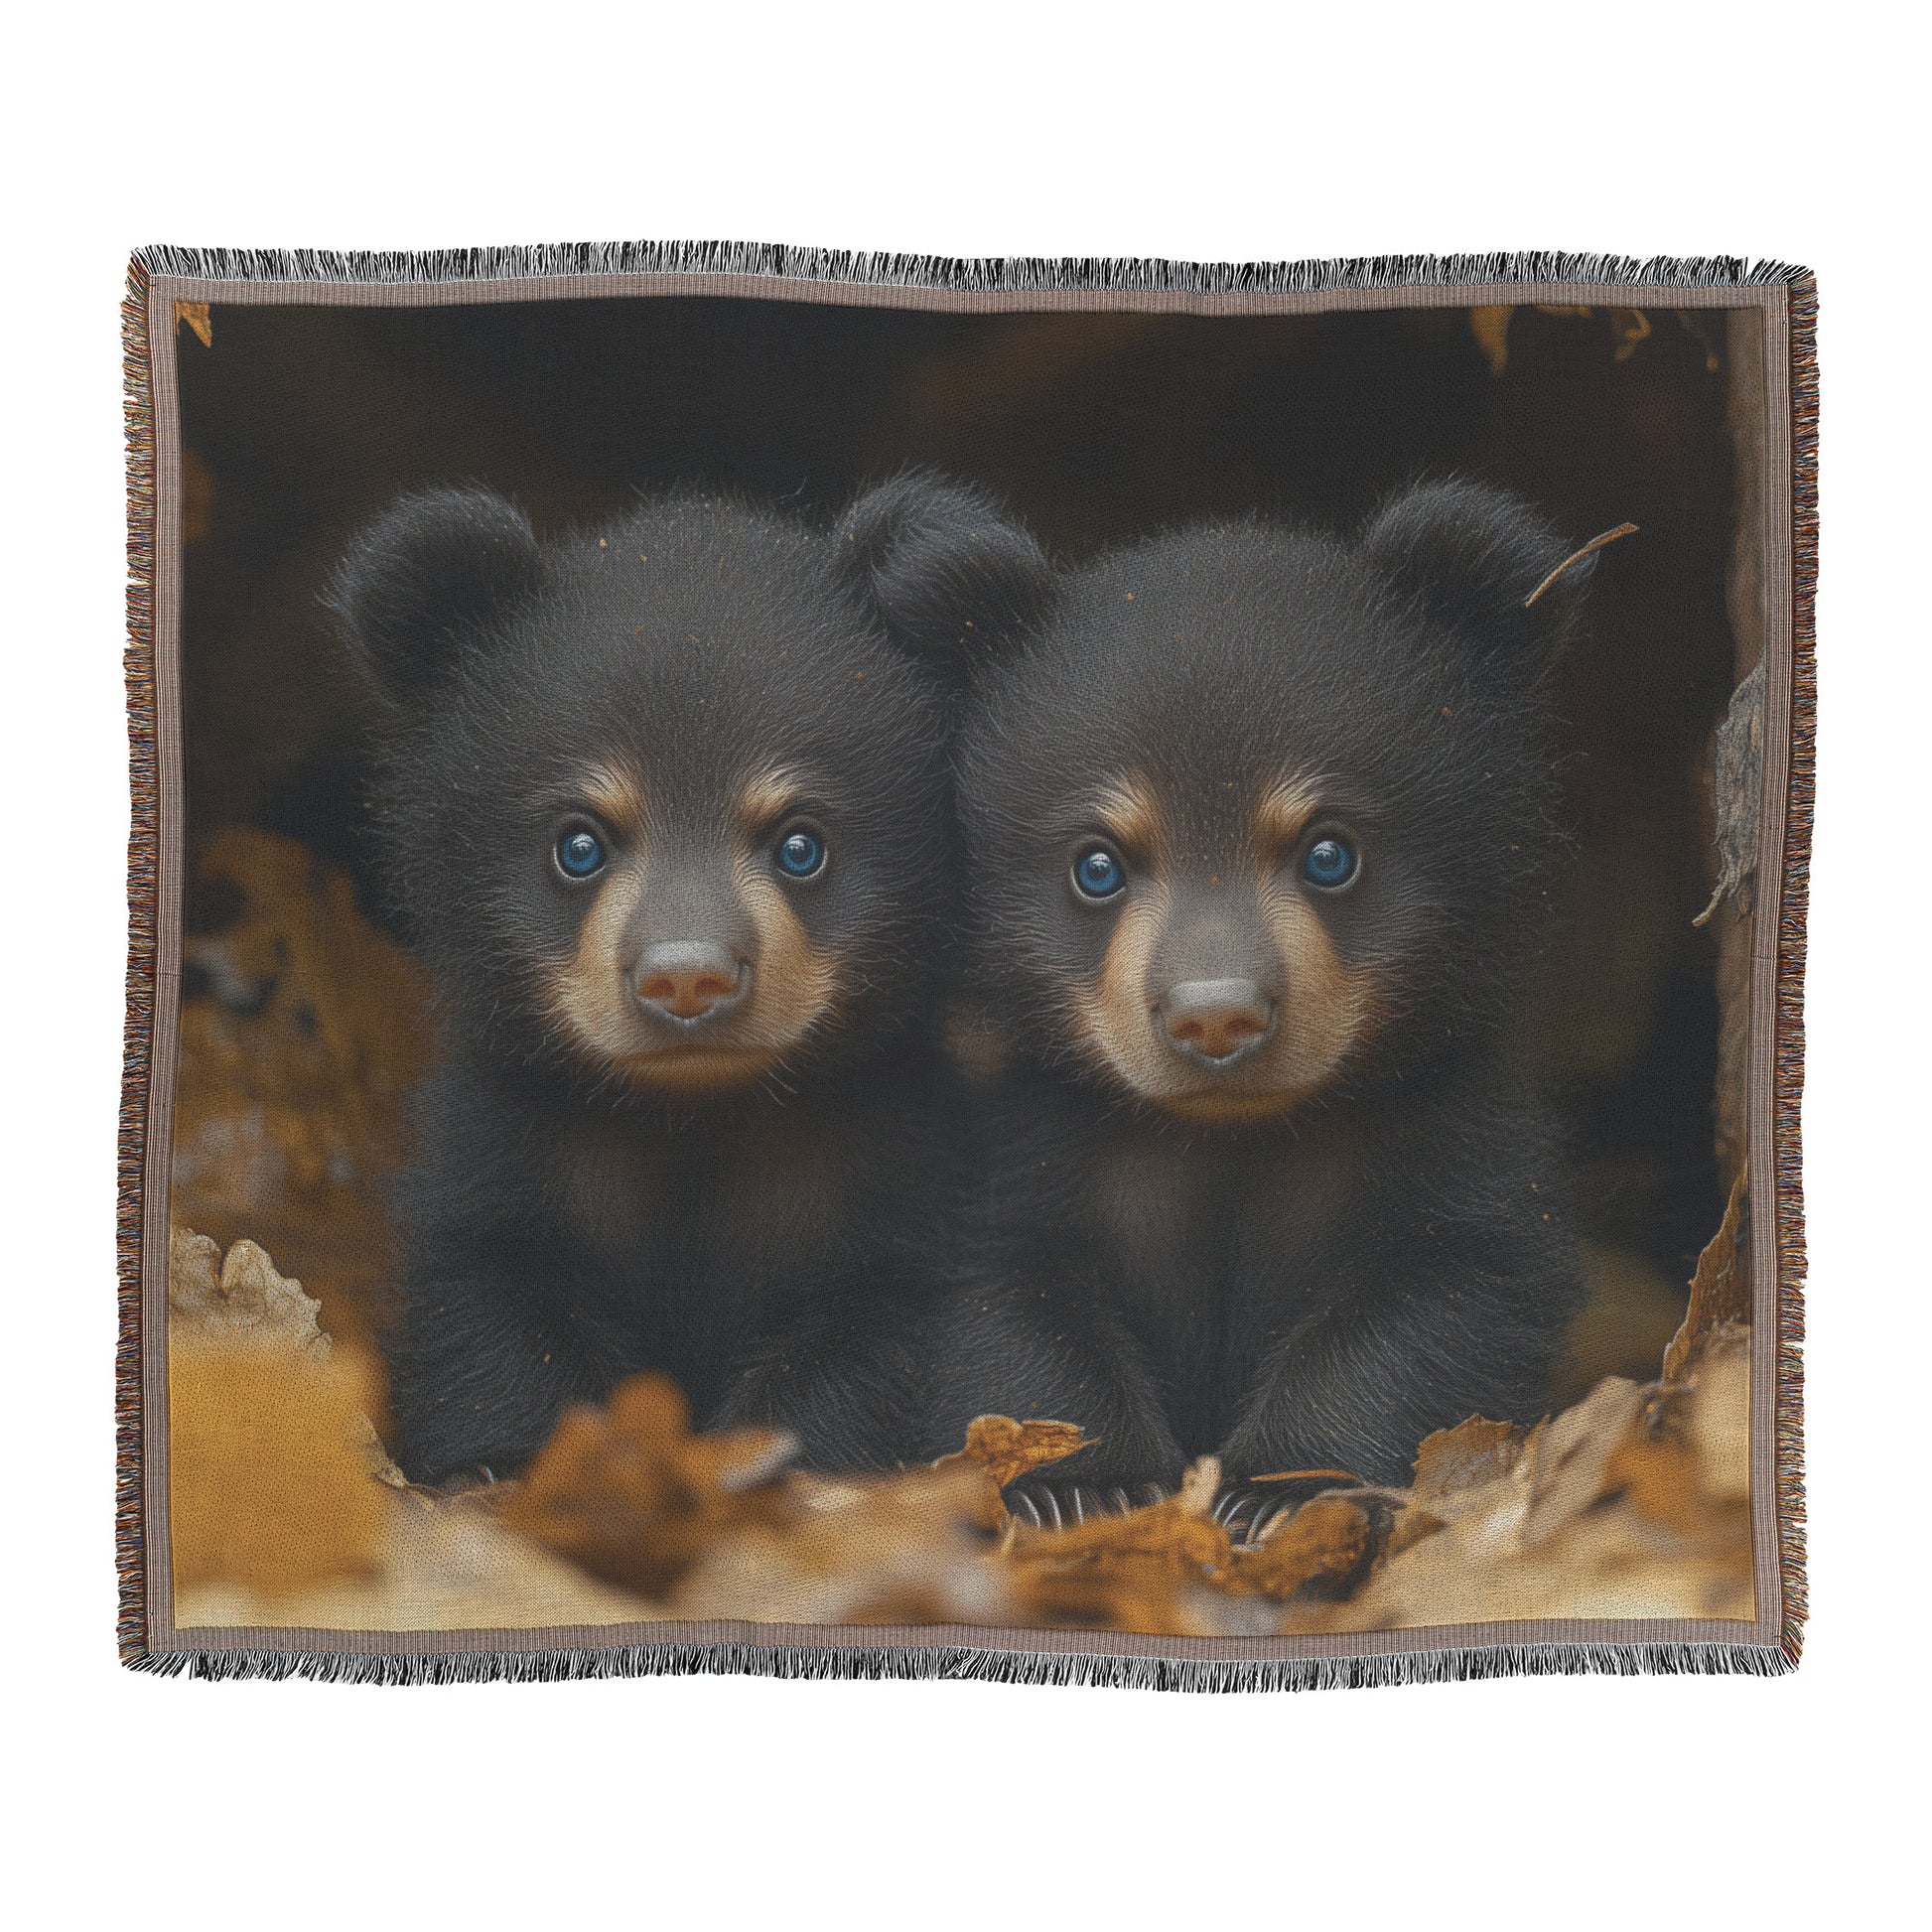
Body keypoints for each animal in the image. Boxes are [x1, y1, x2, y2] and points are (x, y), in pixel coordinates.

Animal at [328, 472, 1047, 1483]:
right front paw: (506, 1469)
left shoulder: (893, 1183)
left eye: (800, 844)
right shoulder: (506, 1155)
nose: (687, 981)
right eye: (579, 844)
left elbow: (867, 1351)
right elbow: (489, 1316)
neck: (695, 1119)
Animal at [917, 478, 1599, 1532]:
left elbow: (1436, 1300)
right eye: (1097, 866)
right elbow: (1011, 1293)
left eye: (1329, 853)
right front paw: (1081, 1488)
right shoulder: (1033, 1149)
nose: (1215, 1018)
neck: (1232, 1136)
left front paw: (1276, 1501)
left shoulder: (1456, 1137)